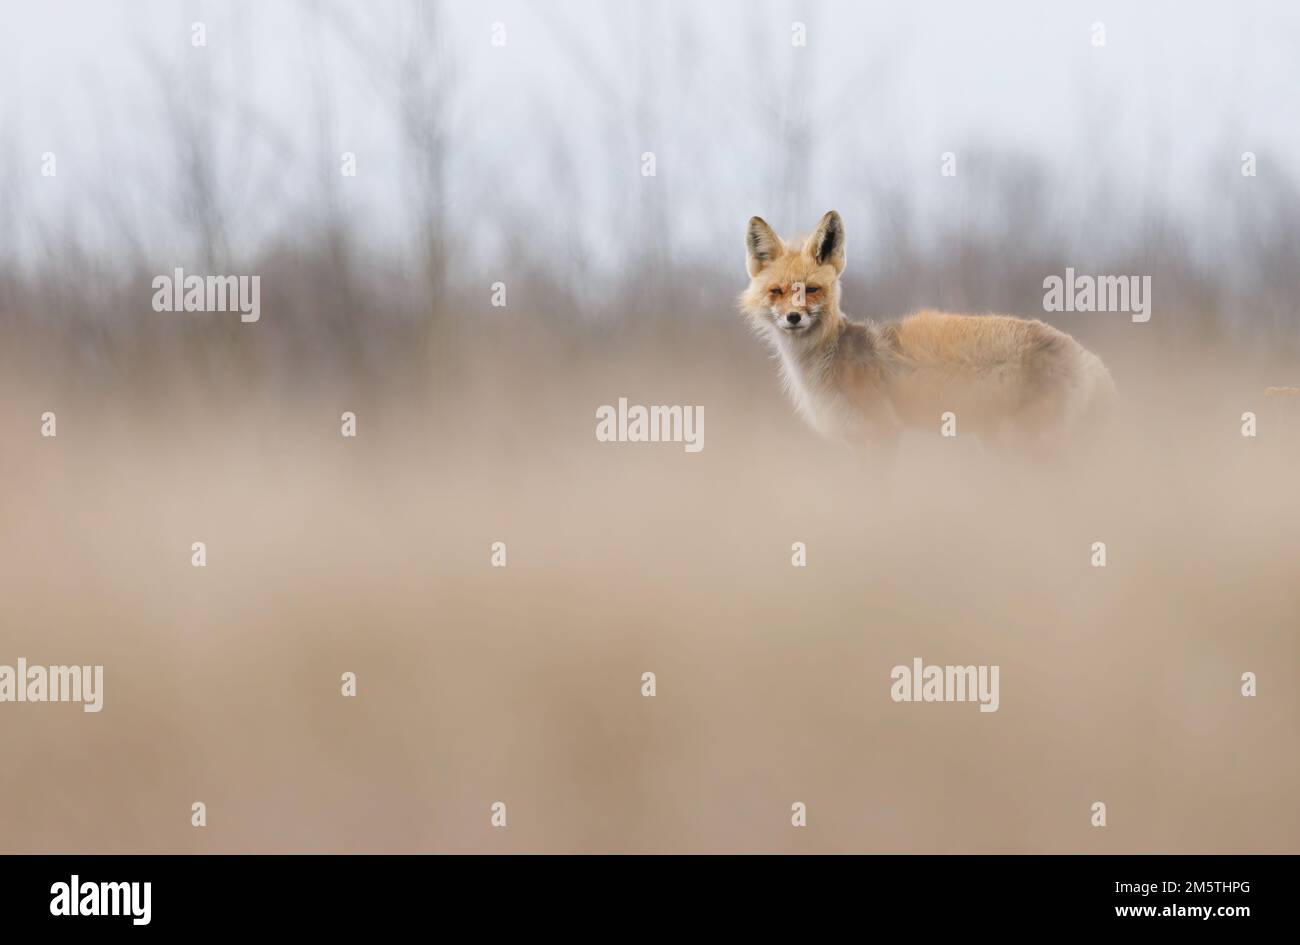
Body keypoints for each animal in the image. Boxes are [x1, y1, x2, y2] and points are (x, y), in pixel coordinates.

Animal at [739, 210, 1118, 454]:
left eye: (811, 290)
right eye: (777, 291)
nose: (793, 317)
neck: (820, 366)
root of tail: (1089, 356)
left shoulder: (882, 433)